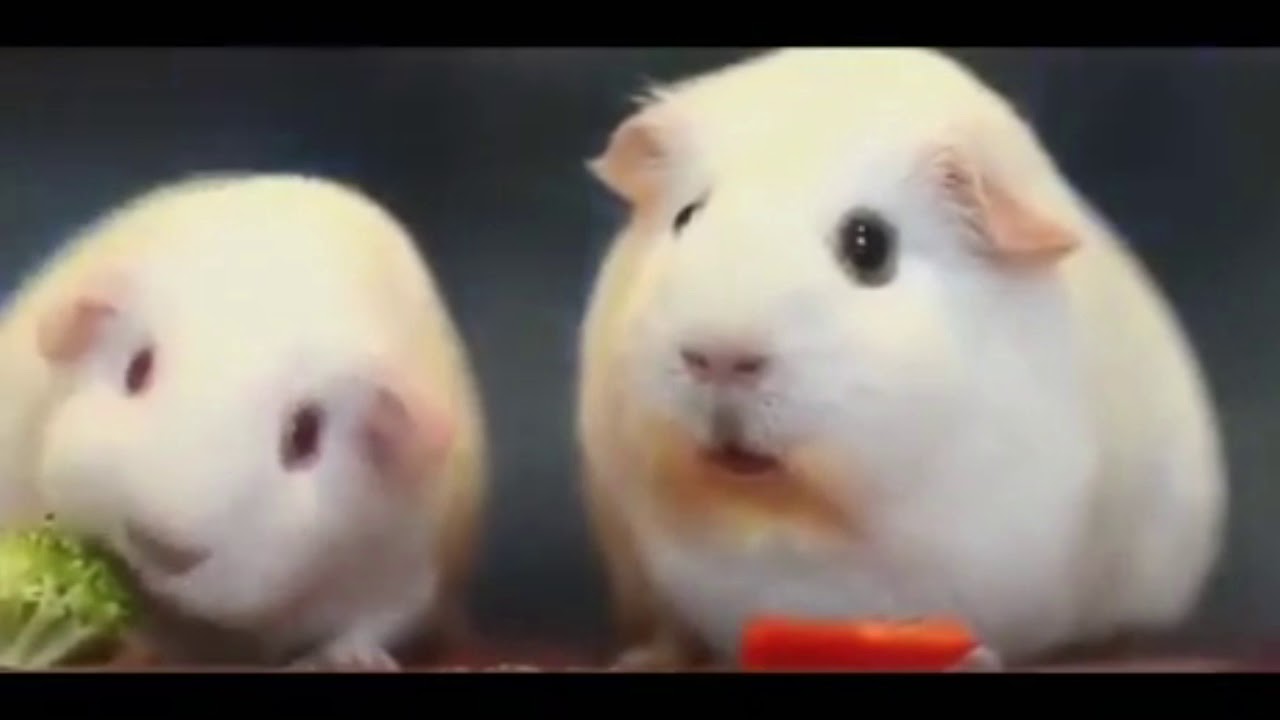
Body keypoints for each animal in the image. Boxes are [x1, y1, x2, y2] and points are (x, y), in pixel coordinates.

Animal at [0, 172, 489, 669]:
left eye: (305, 435)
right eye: (137, 369)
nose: (163, 549)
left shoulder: (407, 570)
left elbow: (375, 624)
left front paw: (350, 660)